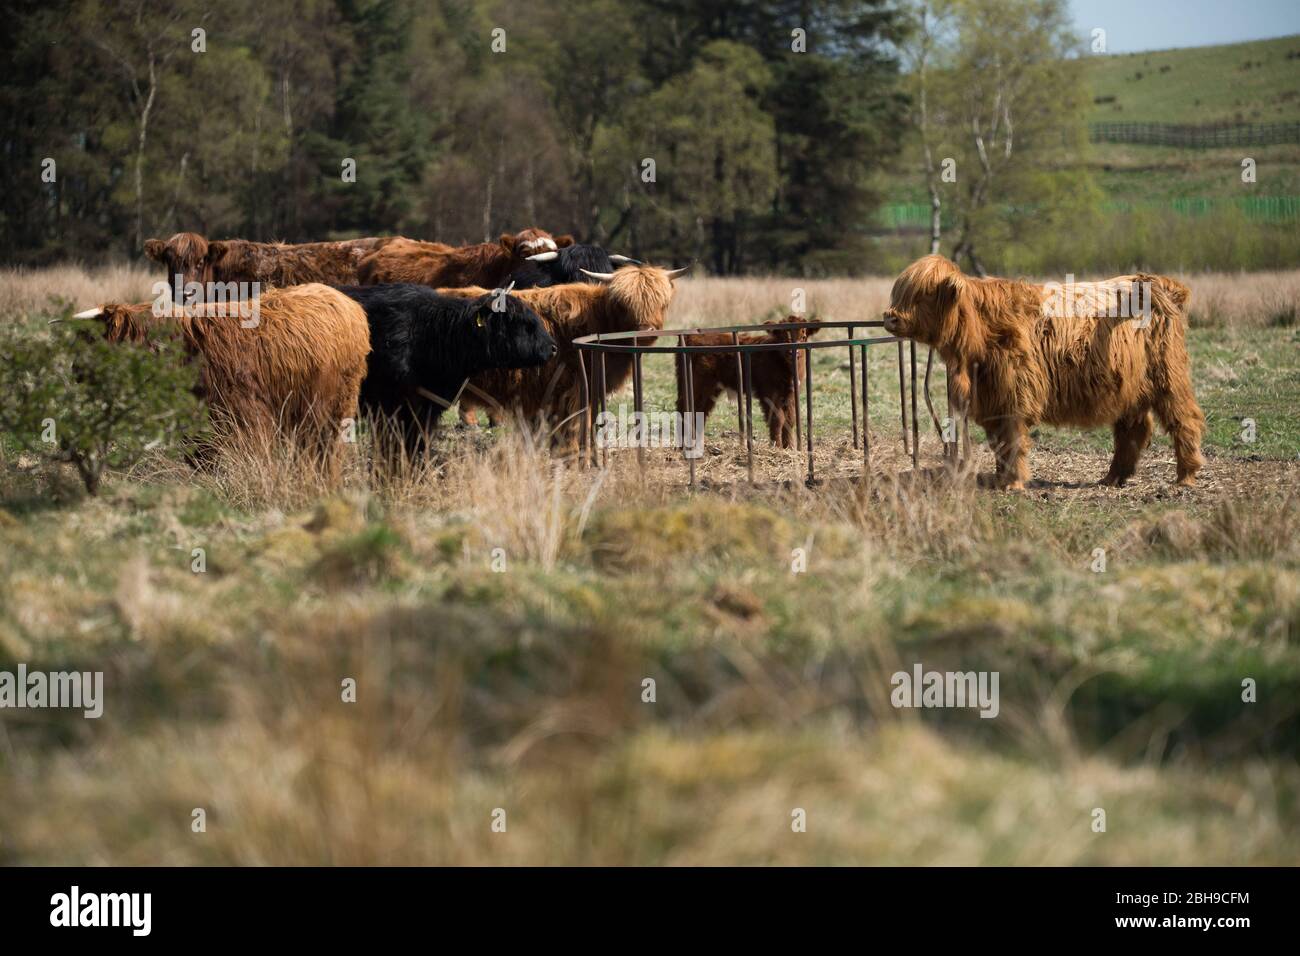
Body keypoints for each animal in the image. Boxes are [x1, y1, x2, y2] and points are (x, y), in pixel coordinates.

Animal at [71, 283, 370, 476]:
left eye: (93, 341)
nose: (74, 370)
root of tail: (347, 302)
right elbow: (201, 459)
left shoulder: (247, 413)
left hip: (335, 406)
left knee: (325, 448)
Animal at [675, 316, 822, 448]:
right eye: (783, 338)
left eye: (803, 336)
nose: (794, 353)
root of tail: (692, 336)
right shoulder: (769, 392)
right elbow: (777, 418)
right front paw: (777, 447)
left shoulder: (790, 393)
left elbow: (790, 419)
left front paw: (789, 447)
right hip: (699, 385)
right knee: (686, 408)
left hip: (709, 389)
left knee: (700, 411)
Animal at [882, 254, 1204, 489]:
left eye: (921, 296)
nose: (889, 317)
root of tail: (1154, 280)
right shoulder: (991, 399)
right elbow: (998, 443)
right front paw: (1000, 479)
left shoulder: (1014, 395)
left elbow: (1012, 440)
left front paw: (1013, 483)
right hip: (1130, 385)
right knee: (1133, 429)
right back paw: (1114, 477)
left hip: (1168, 376)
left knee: (1183, 420)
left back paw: (1186, 477)